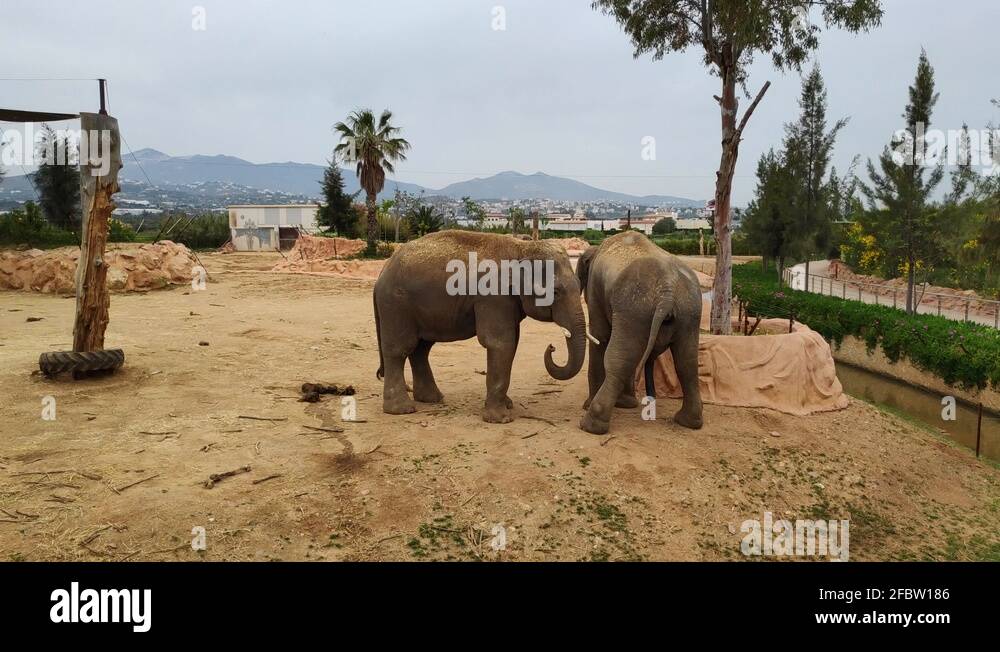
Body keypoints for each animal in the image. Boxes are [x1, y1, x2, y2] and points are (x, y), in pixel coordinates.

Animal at [373, 230, 587, 424]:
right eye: (556, 292)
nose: (552, 347)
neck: (521, 247)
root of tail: (382, 273)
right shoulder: (493, 296)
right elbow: (500, 343)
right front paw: (501, 419)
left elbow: (512, 342)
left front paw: (507, 405)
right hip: (396, 305)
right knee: (400, 349)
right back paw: (402, 409)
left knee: (421, 349)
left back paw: (432, 399)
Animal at [575, 231, 704, 434]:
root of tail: (667, 290)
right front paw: (626, 404)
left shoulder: (596, 289)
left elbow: (600, 336)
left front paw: (591, 405)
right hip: (689, 314)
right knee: (687, 362)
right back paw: (688, 421)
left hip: (635, 309)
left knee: (621, 359)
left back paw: (590, 425)